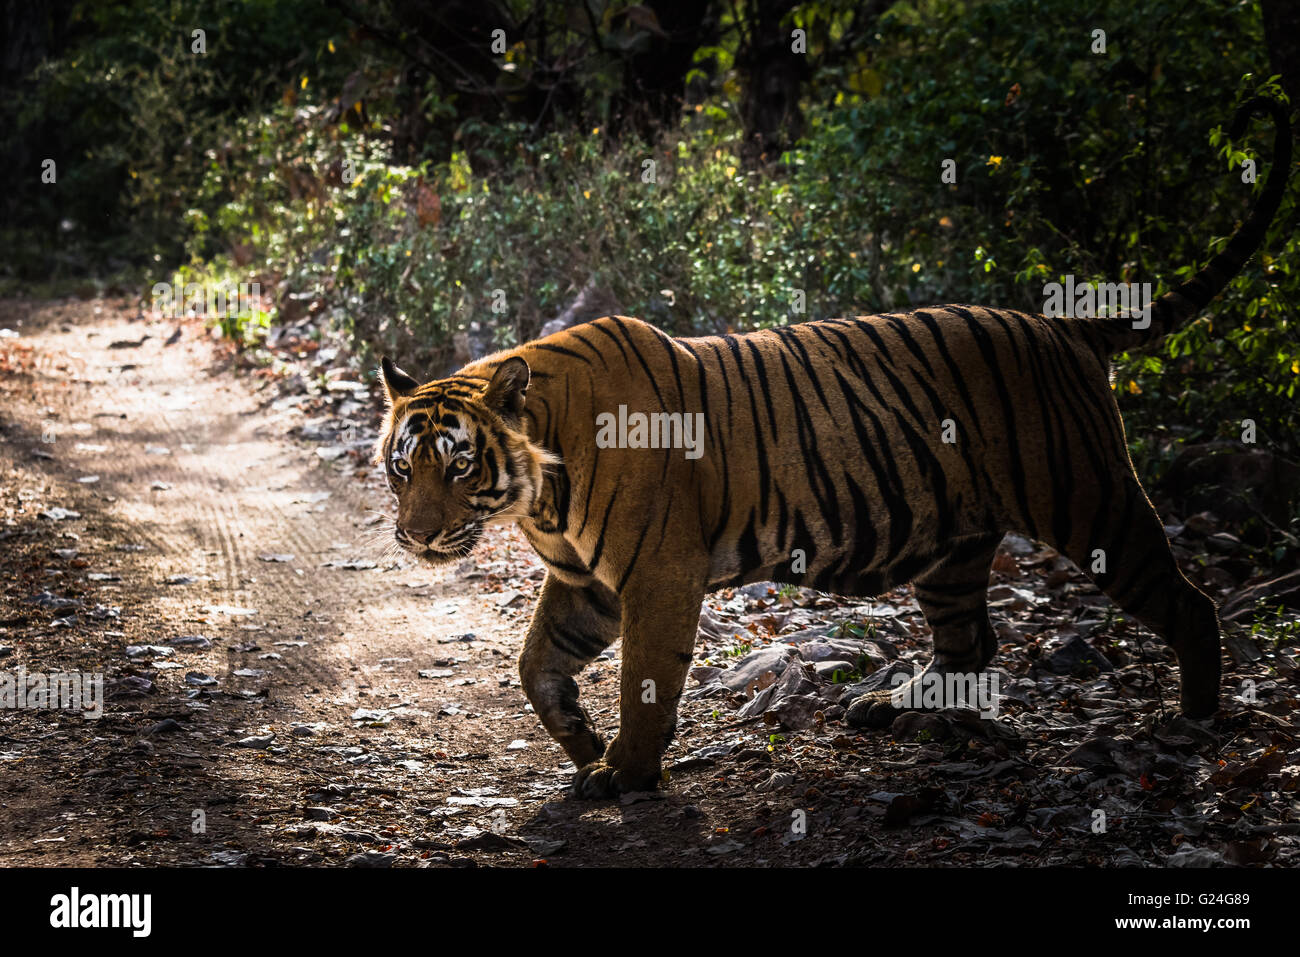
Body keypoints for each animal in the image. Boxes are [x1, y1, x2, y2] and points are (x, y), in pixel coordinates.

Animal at [375, 96, 1290, 798]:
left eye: (458, 463)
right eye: (401, 466)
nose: (416, 535)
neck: (541, 494)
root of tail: (1067, 326)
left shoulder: (657, 572)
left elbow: (645, 683)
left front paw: (625, 771)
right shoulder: (585, 581)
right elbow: (535, 666)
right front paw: (579, 742)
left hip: (1090, 500)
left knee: (1190, 604)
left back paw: (1192, 723)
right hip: (955, 542)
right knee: (972, 640)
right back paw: (898, 709)